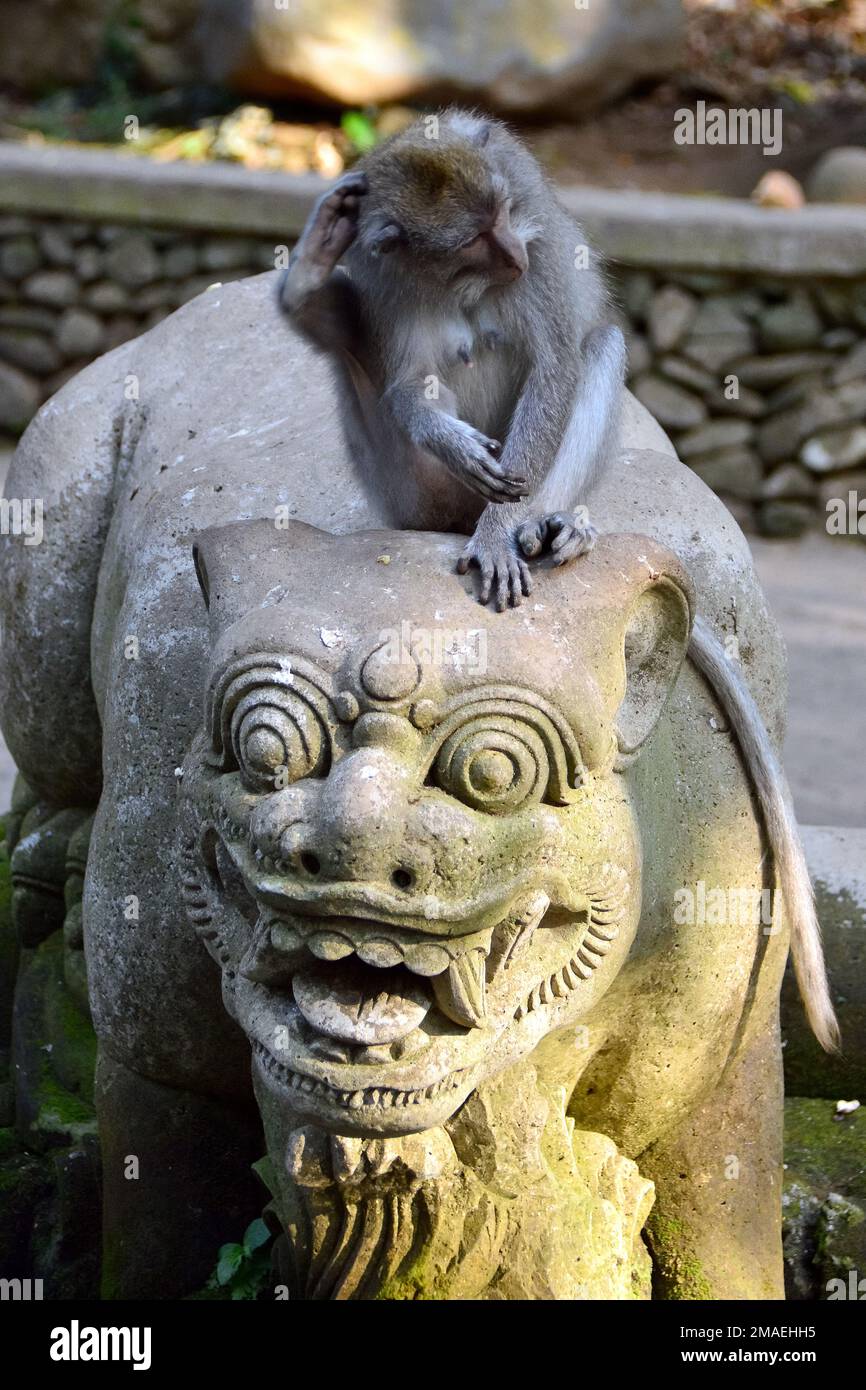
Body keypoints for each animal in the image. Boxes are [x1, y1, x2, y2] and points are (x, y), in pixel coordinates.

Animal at [279, 107, 626, 612]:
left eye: (505, 208)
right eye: (472, 240)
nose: (516, 255)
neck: (461, 279)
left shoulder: (535, 231)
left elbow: (555, 367)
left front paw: (499, 533)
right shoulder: (381, 268)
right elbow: (411, 382)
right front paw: (452, 443)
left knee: (602, 343)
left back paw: (547, 524)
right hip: (413, 499)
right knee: (348, 331)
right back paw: (307, 271)